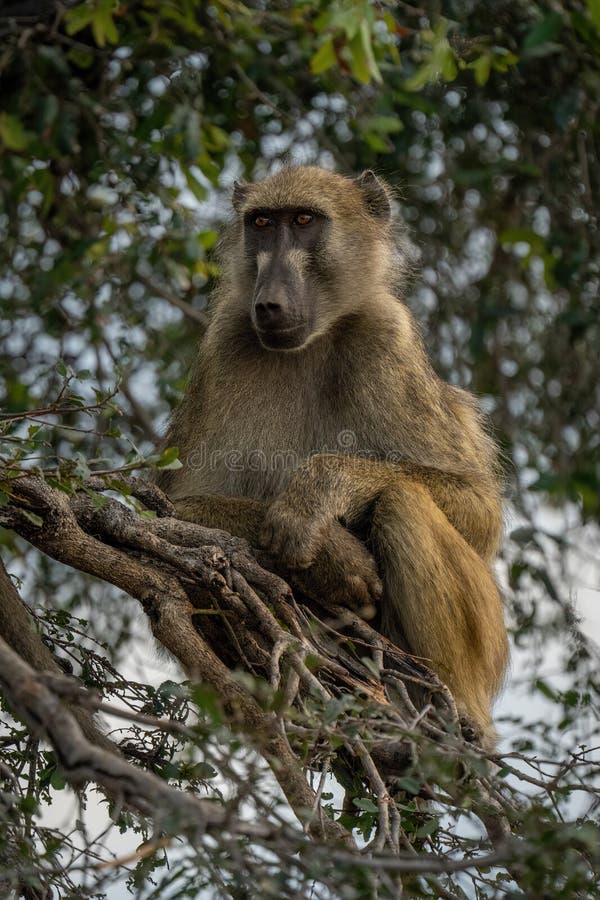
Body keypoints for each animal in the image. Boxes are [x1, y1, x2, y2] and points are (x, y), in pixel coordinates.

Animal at [156, 166, 509, 749]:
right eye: (261, 224)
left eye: (303, 220)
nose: (269, 303)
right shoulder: (223, 345)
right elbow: (170, 507)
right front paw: (334, 557)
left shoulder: (387, 337)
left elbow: (480, 510)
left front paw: (319, 492)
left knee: (402, 500)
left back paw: (455, 713)